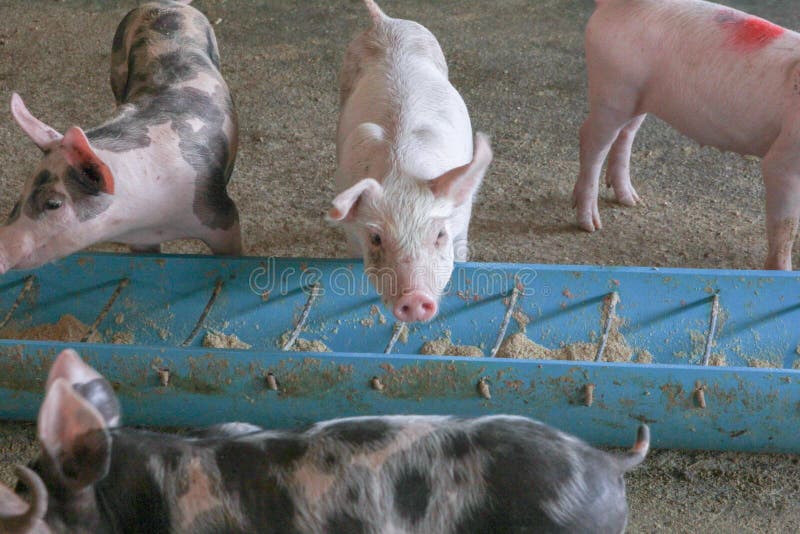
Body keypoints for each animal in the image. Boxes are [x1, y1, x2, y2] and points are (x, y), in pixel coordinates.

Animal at [328, 0, 493, 322]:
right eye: (376, 238)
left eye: (439, 235)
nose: (414, 299)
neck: (402, 169)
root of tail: (384, 21)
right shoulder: (352, 232)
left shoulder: (461, 221)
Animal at [573, 0, 800, 270]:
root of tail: (612, 6)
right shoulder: (785, 159)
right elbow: (785, 227)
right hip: (612, 89)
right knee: (592, 140)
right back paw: (590, 225)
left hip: (638, 97)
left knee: (625, 133)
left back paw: (631, 200)